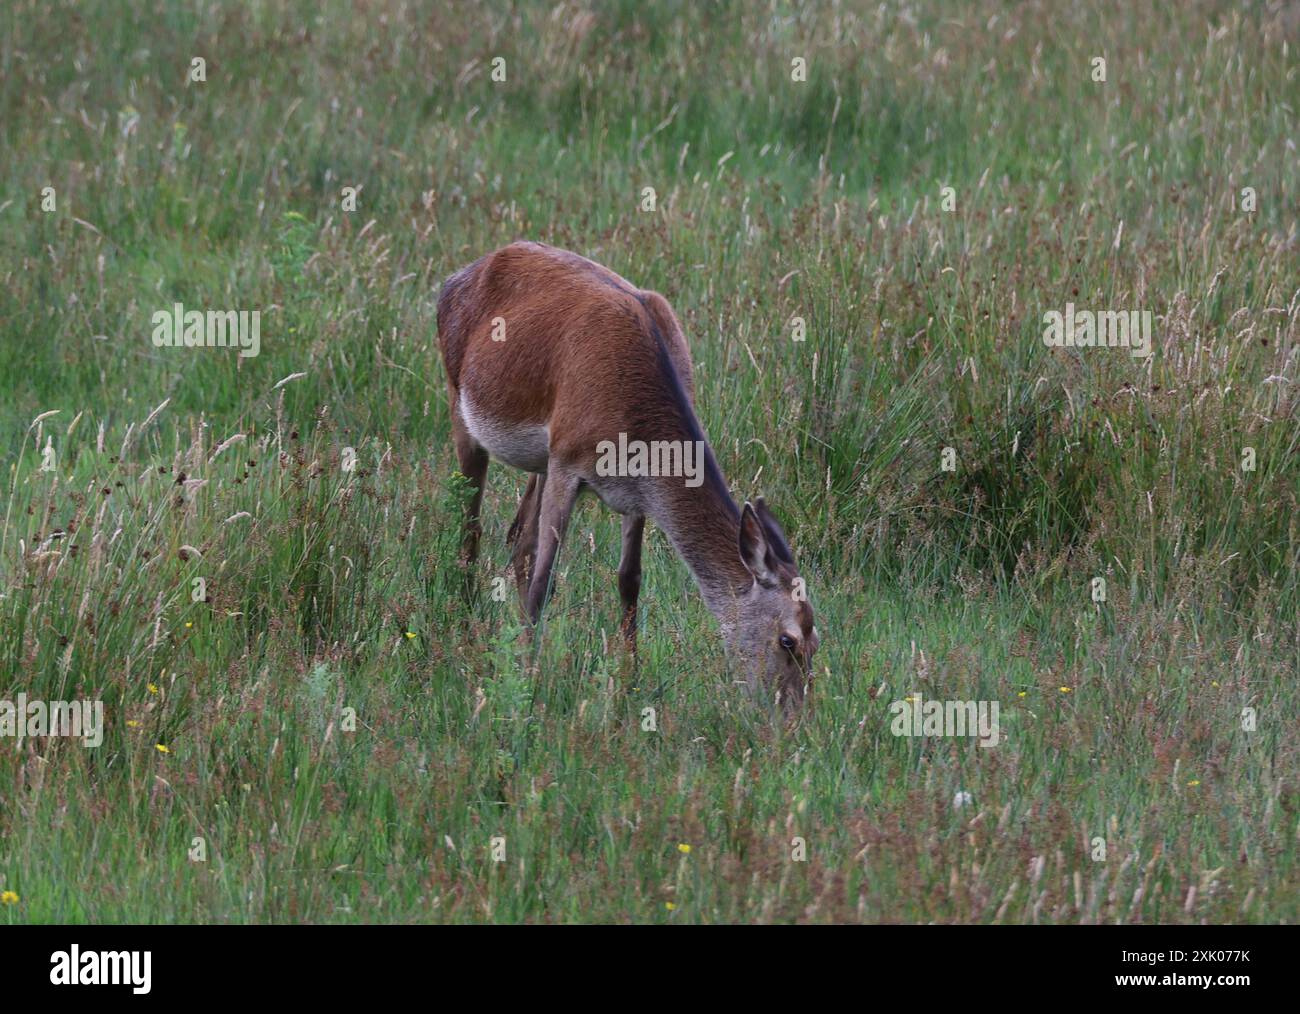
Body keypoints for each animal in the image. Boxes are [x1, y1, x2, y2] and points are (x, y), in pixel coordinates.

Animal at [436, 241, 818, 712]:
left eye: (817, 642)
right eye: (788, 640)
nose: (792, 718)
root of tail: (455, 279)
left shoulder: (636, 493)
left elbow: (629, 580)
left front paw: (628, 685)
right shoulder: (567, 459)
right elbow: (546, 581)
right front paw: (527, 686)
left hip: (538, 460)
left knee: (519, 538)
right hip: (460, 400)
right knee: (472, 529)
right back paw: (465, 629)